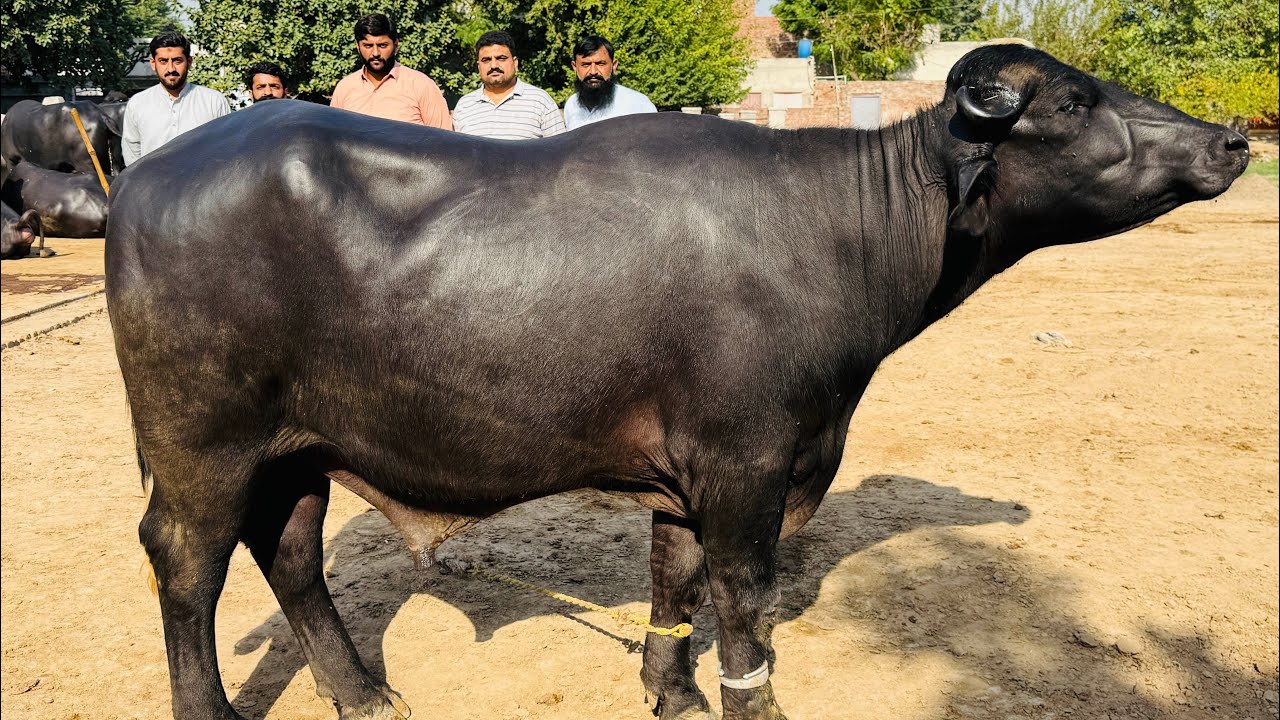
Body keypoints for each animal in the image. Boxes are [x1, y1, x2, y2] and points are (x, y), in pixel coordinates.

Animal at [105, 45, 1248, 720]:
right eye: (1074, 100)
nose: (1233, 139)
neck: (840, 228)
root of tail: (145, 178)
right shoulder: (750, 464)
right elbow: (743, 598)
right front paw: (748, 700)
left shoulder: (688, 475)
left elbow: (676, 582)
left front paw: (673, 690)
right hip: (202, 445)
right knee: (185, 565)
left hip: (299, 446)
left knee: (289, 552)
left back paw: (367, 696)